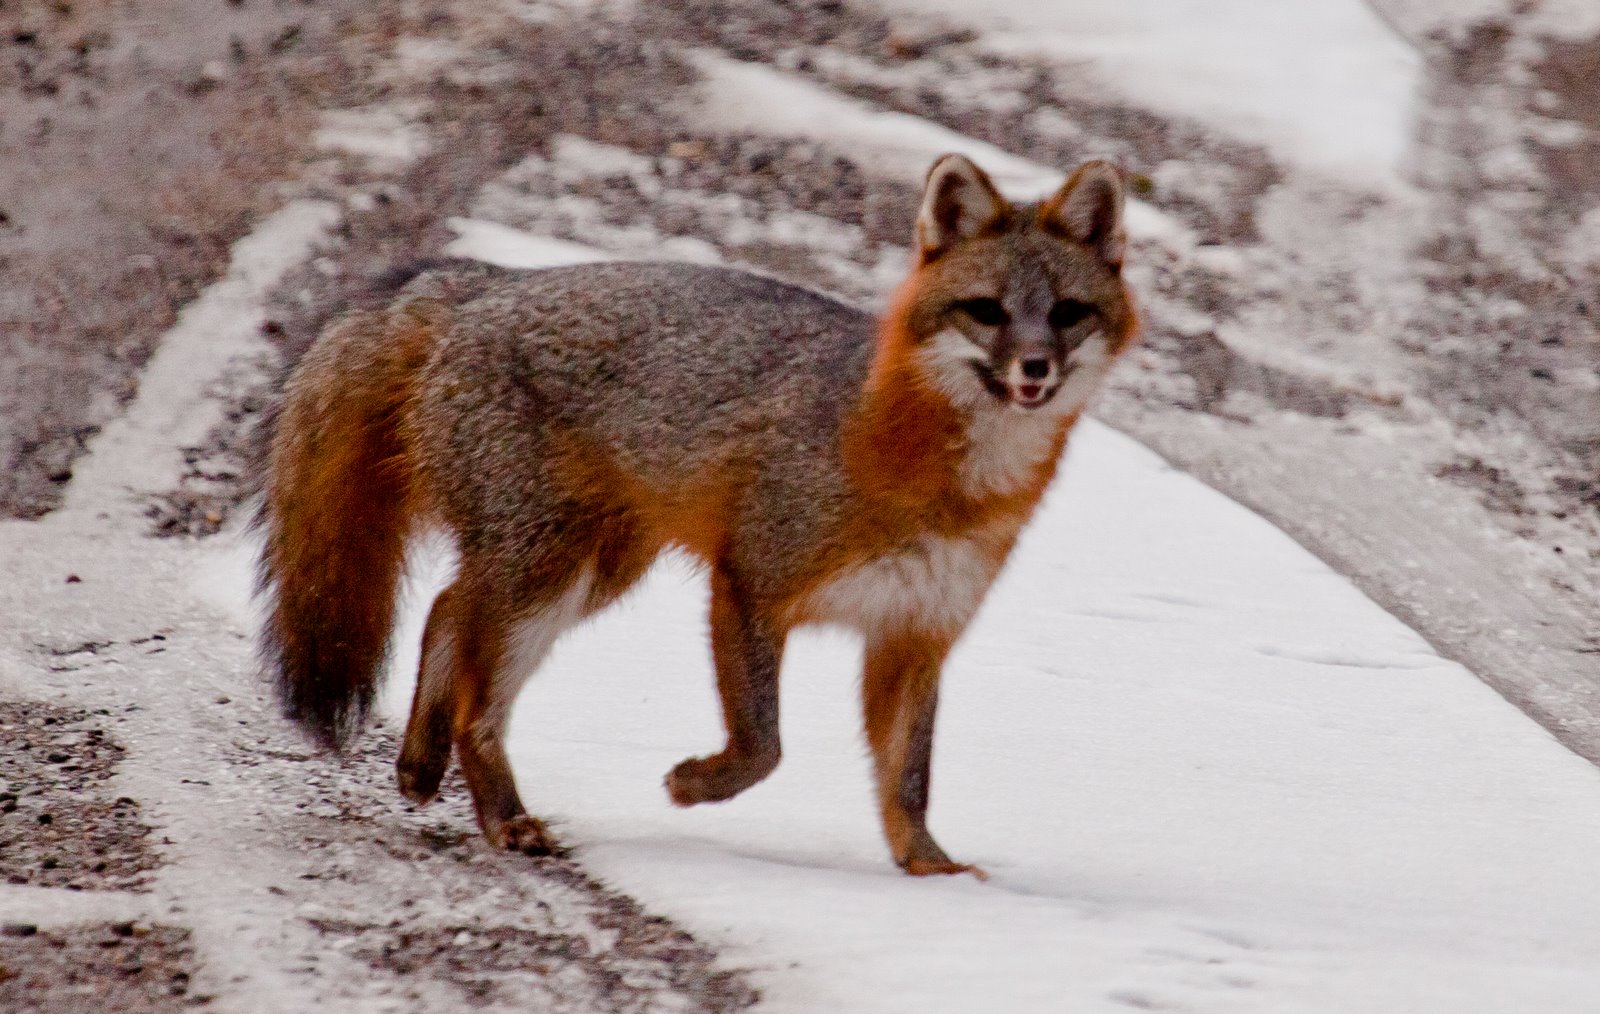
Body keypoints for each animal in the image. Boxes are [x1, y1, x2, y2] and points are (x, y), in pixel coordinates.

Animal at [256, 153, 1139, 877]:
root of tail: (482, 284)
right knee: (475, 685)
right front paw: (693, 784)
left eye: (1067, 313)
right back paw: (504, 818)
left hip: (591, 571)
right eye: (987, 312)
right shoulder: (750, 583)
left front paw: (929, 871)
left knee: (444, 611)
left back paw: (421, 764)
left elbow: (908, 780)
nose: (1035, 368)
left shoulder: (913, 635)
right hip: (548, 573)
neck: (937, 478)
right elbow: (764, 748)